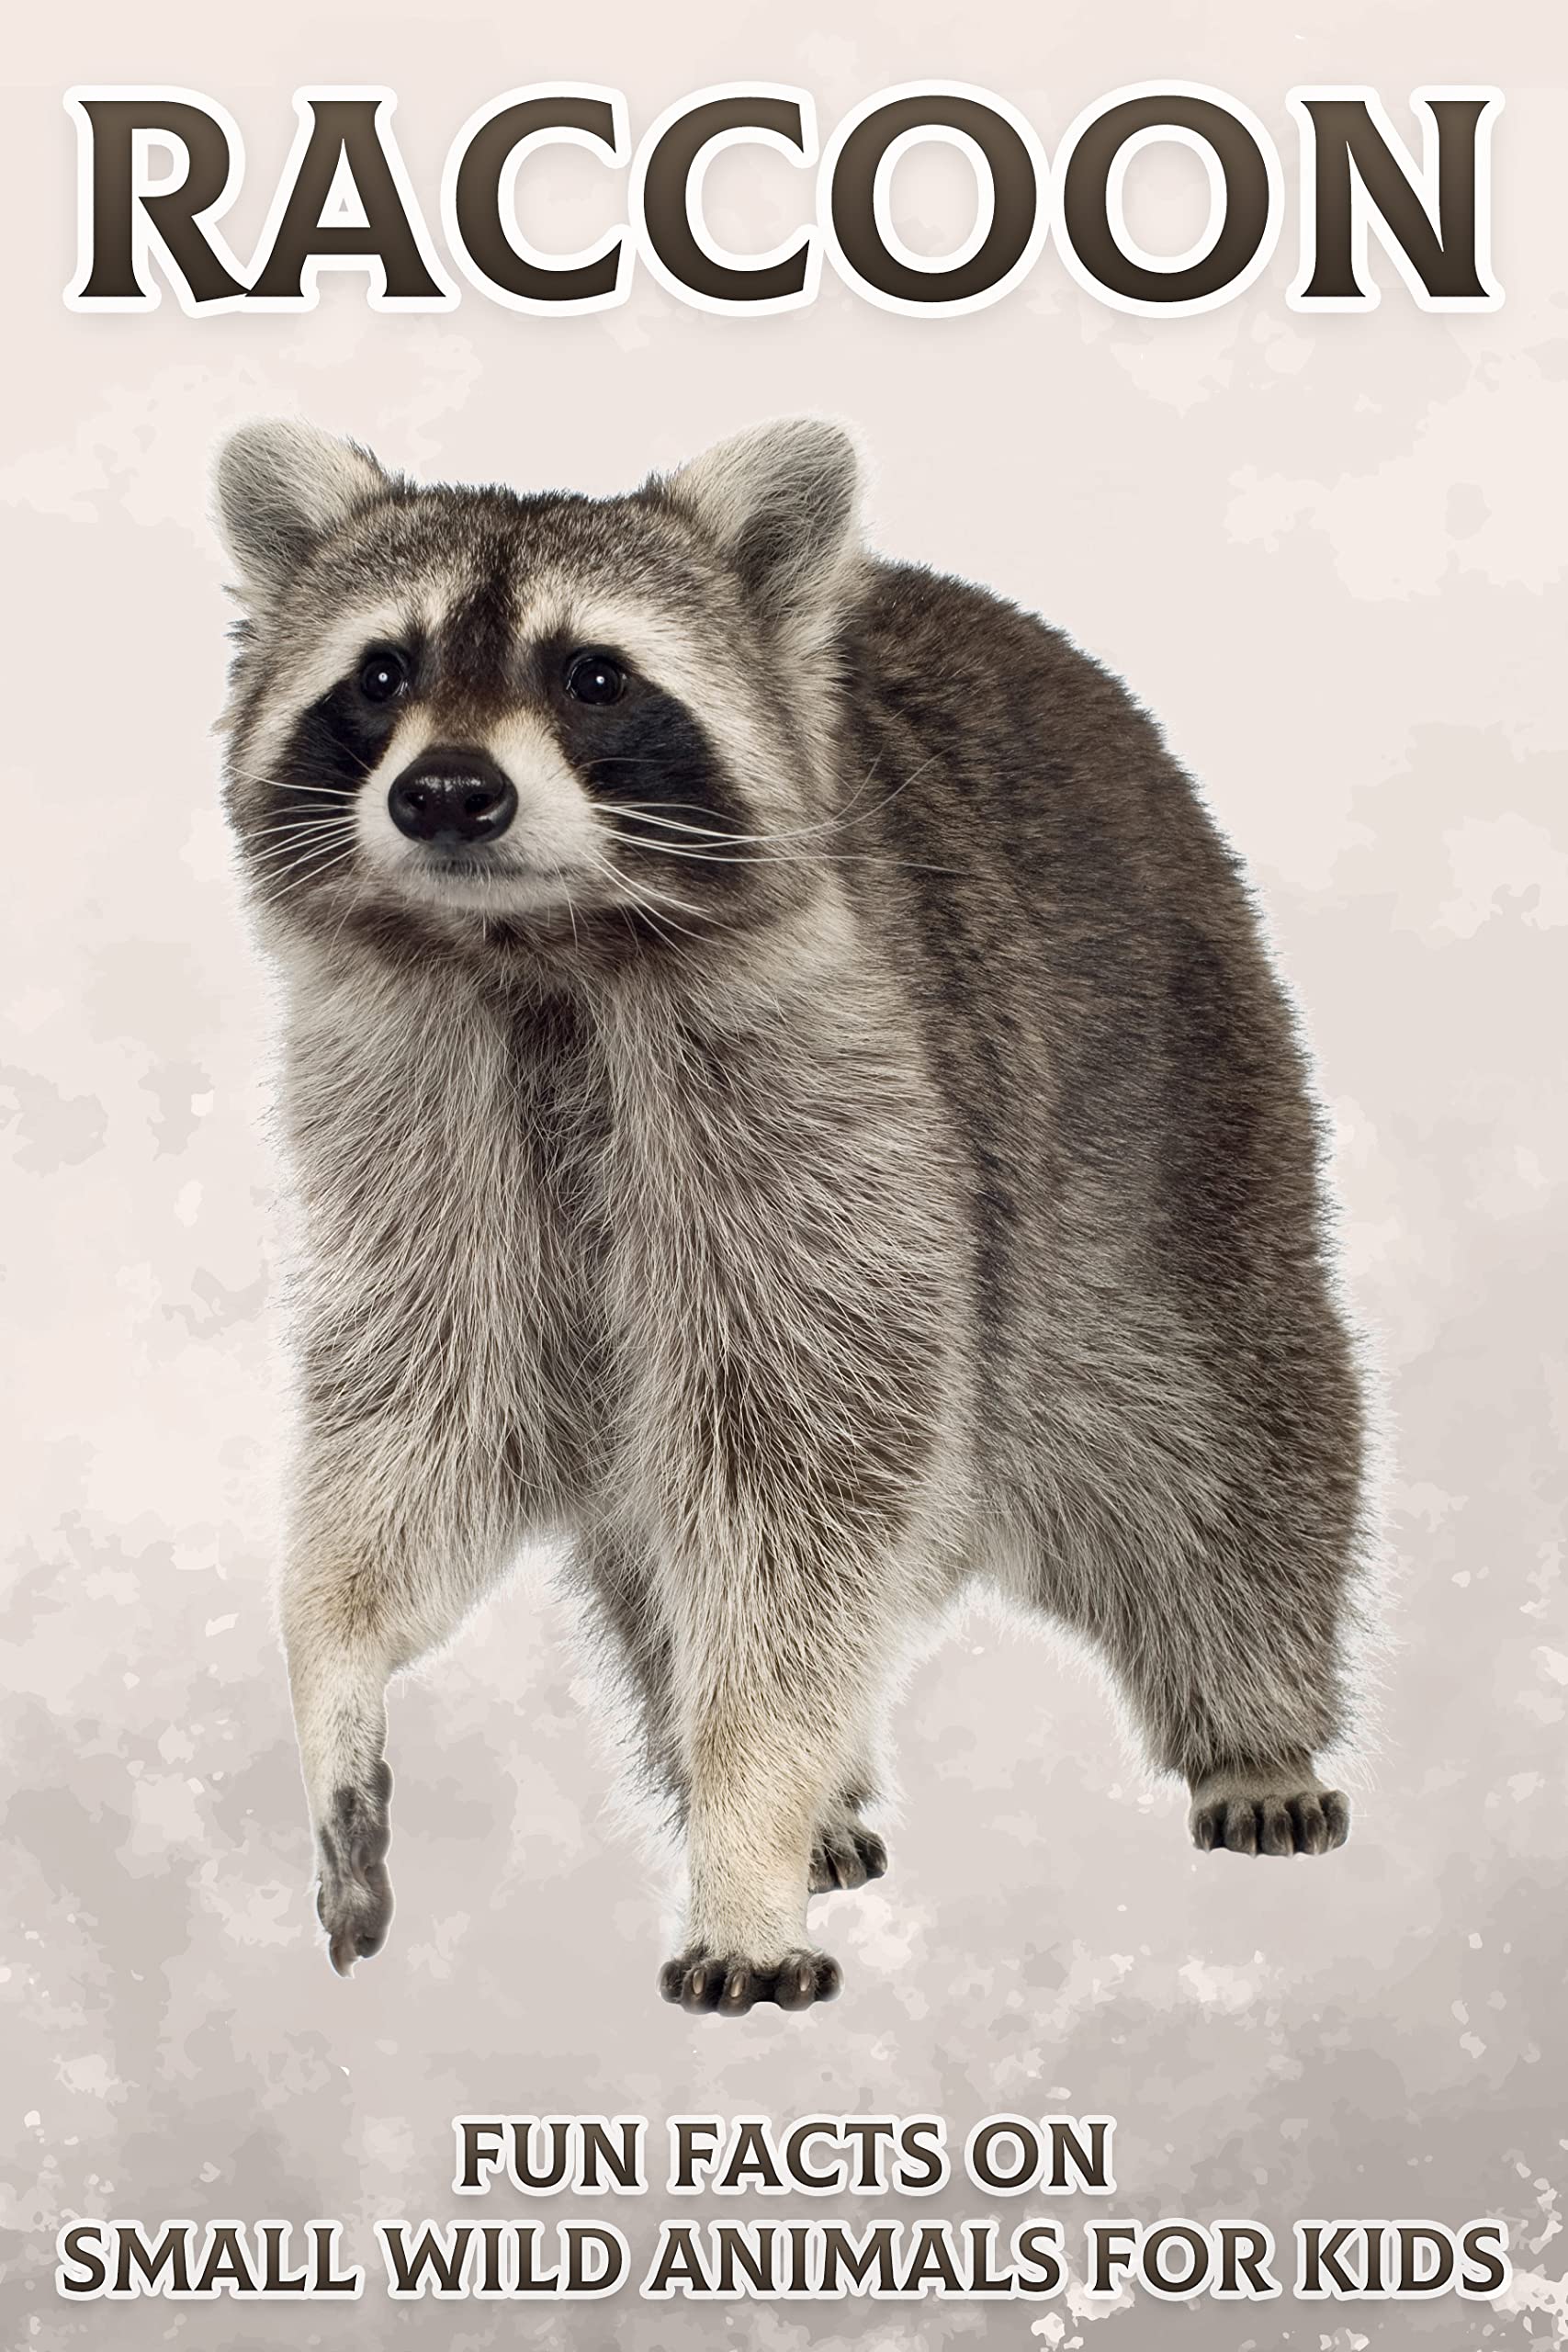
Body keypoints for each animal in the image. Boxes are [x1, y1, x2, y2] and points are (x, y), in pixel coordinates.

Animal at [213, 416, 1370, 2015]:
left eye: (593, 676)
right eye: (381, 673)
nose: (444, 792)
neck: (533, 955)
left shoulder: (830, 1088)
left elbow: (800, 1487)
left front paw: (748, 1822)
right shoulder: (415, 1106)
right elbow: (428, 1419)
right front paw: (333, 1667)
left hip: (1180, 1093)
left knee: (1225, 1430)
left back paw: (1253, 1719)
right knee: (651, 1550)